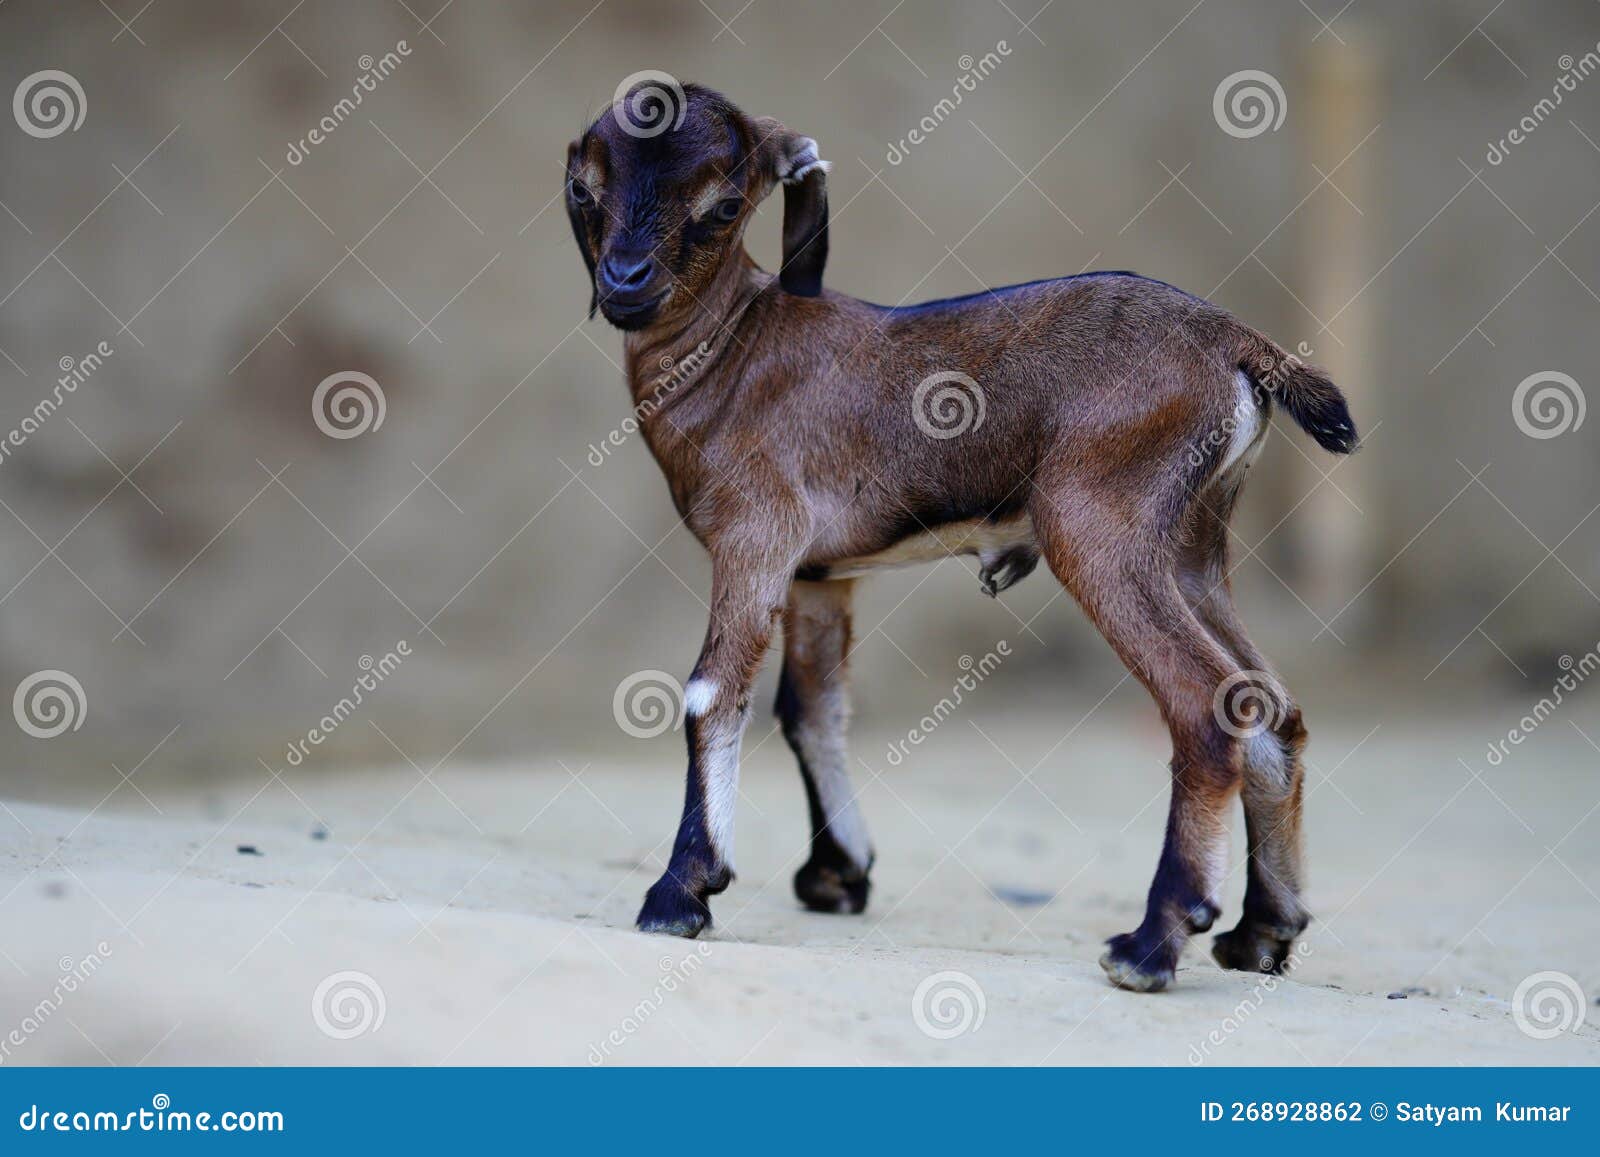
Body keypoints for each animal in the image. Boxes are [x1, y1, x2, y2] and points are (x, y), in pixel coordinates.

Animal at [565, 83, 1357, 991]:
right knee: (1272, 708)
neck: (733, 349)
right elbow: (812, 708)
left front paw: (681, 891)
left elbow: (710, 694)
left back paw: (1150, 944)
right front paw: (837, 873)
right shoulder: (820, 575)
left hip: (1101, 526)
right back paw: (1262, 931)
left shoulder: (754, 536)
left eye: (726, 204)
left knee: (1210, 705)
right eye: (584, 190)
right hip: (1194, 547)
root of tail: (1236, 345)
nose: (625, 282)